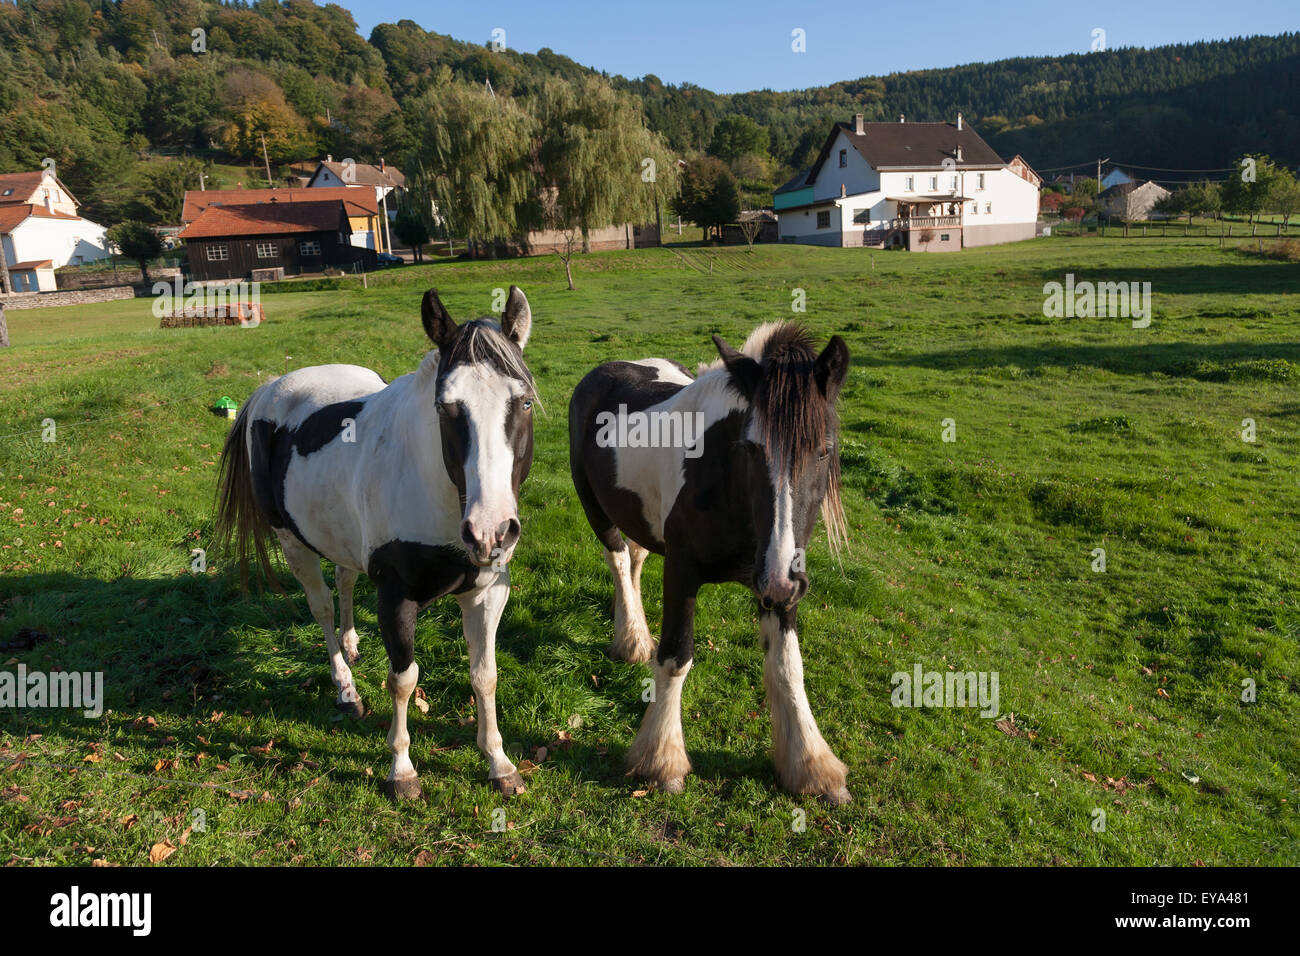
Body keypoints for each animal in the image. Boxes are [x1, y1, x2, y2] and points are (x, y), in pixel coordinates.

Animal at [214, 287, 538, 798]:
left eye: (523, 402)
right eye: (445, 408)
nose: (490, 531)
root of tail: (269, 389)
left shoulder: (488, 593)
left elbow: (484, 675)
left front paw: (499, 763)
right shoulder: (396, 599)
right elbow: (403, 680)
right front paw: (402, 770)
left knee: (345, 578)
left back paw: (351, 643)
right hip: (293, 544)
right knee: (322, 607)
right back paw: (345, 687)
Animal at [568, 322, 852, 804]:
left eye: (823, 449)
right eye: (751, 448)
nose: (779, 582)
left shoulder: (781, 579)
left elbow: (787, 667)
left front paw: (812, 766)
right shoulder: (684, 572)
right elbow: (675, 657)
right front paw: (661, 760)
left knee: (636, 556)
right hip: (596, 510)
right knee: (619, 561)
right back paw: (631, 638)